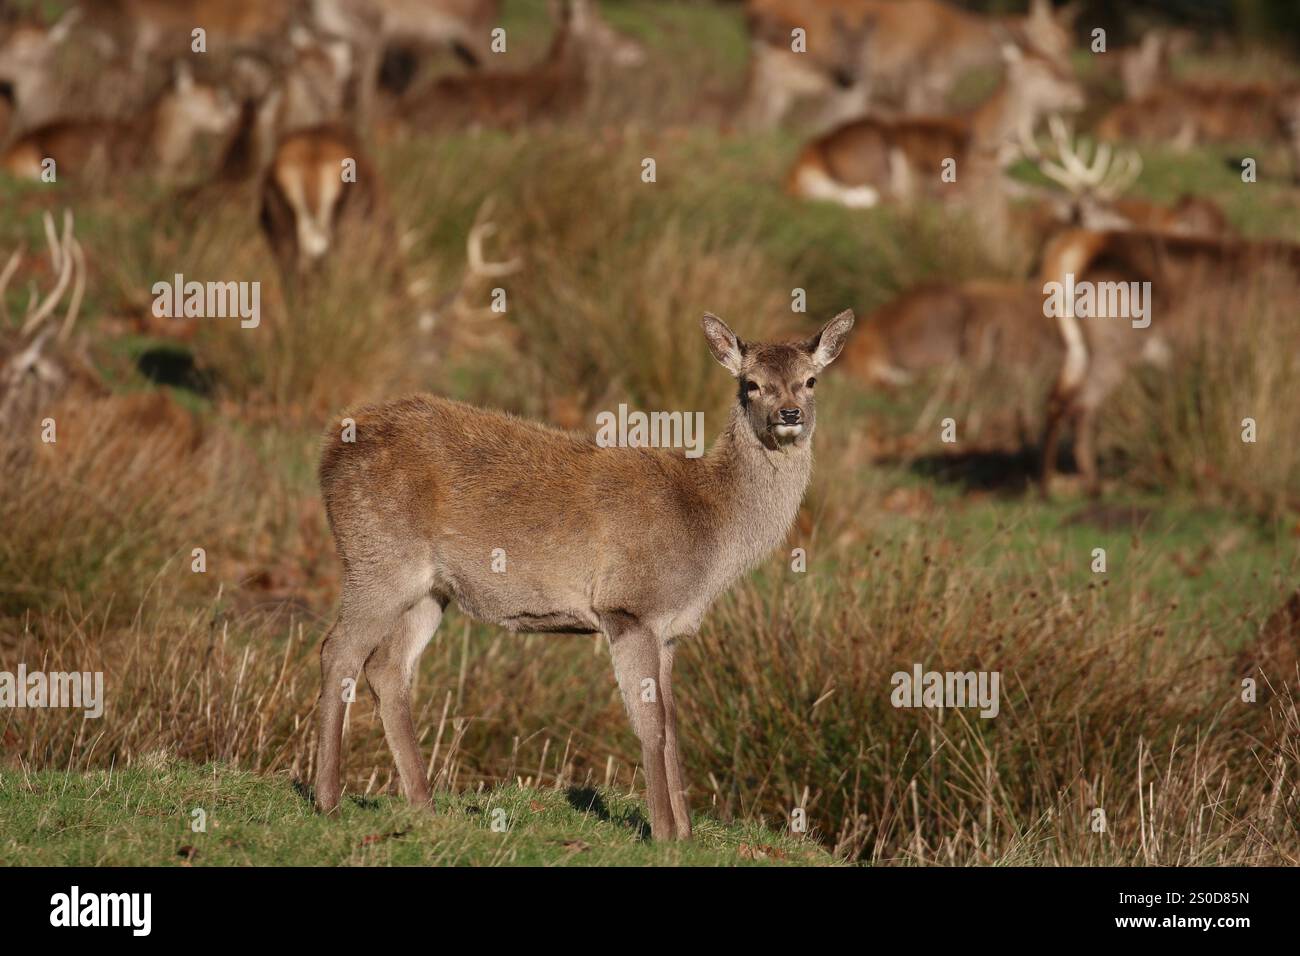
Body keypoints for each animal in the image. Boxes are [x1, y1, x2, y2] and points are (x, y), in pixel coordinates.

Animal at [313, 309, 856, 840]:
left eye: (811, 380)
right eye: (751, 384)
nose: (790, 414)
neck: (709, 532)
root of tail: (329, 449)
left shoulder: (671, 630)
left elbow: (673, 726)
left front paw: (685, 833)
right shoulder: (629, 606)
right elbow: (651, 725)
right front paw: (662, 832)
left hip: (428, 589)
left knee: (388, 667)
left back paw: (423, 808)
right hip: (377, 557)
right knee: (338, 650)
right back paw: (328, 800)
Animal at [786, 42, 1084, 210]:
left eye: (1054, 60)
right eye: (1044, 66)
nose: (1078, 91)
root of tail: (802, 163)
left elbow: (1044, 190)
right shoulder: (968, 175)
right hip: (877, 151)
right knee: (887, 197)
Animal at [1037, 228, 1300, 495]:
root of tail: (1088, 242)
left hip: (1079, 351)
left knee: (1055, 401)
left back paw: (1049, 483)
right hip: (1114, 351)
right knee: (1081, 406)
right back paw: (1094, 483)